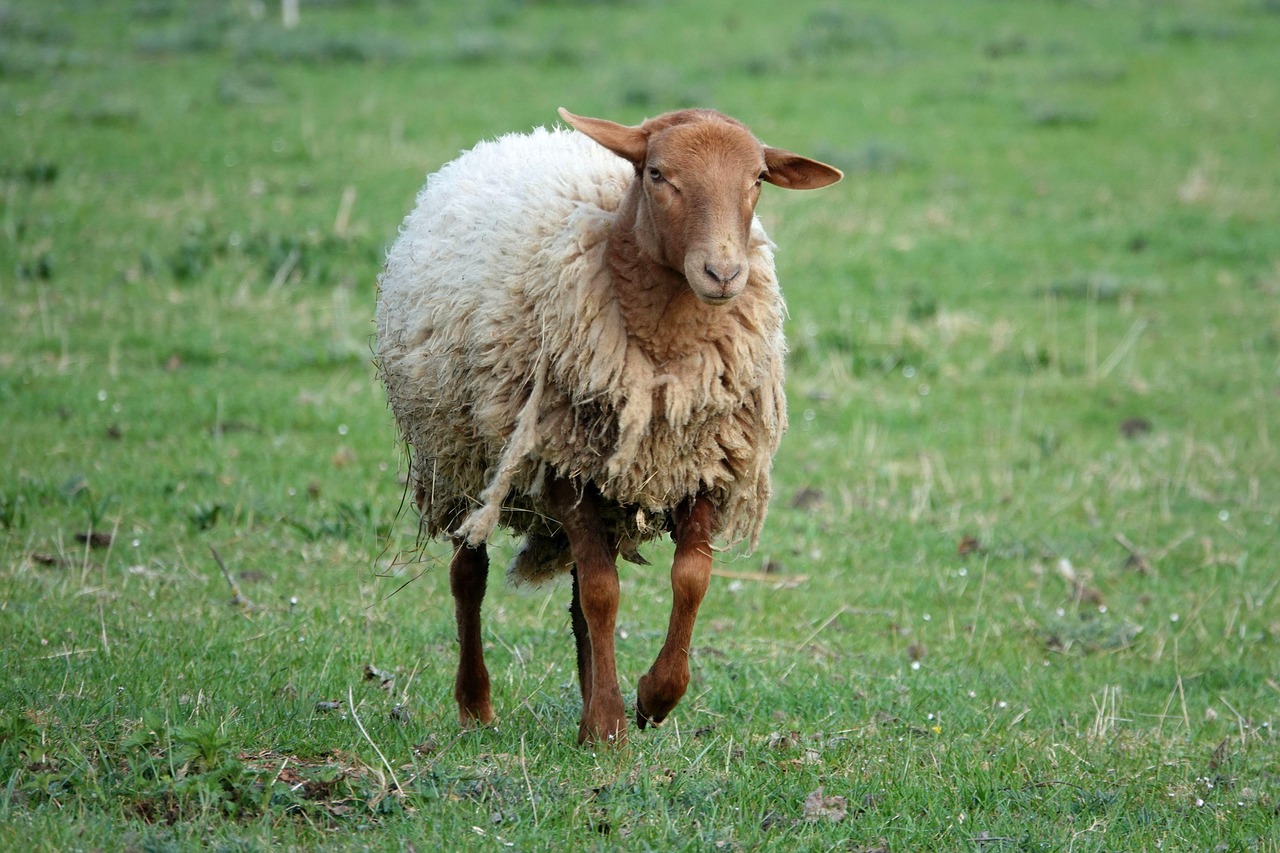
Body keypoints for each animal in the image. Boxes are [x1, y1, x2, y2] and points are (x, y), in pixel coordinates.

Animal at [376, 107, 841, 745]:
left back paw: (590, 692)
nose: (723, 273)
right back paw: (477, 705)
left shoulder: (702, 462)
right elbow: (602, 593)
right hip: (459, 458)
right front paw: (607, 728)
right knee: (470, 573)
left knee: (576, 599)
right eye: (657, 174)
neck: (667, 342)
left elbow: (689, 579)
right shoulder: (561, 466)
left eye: (758, 179)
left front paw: (652, 699)